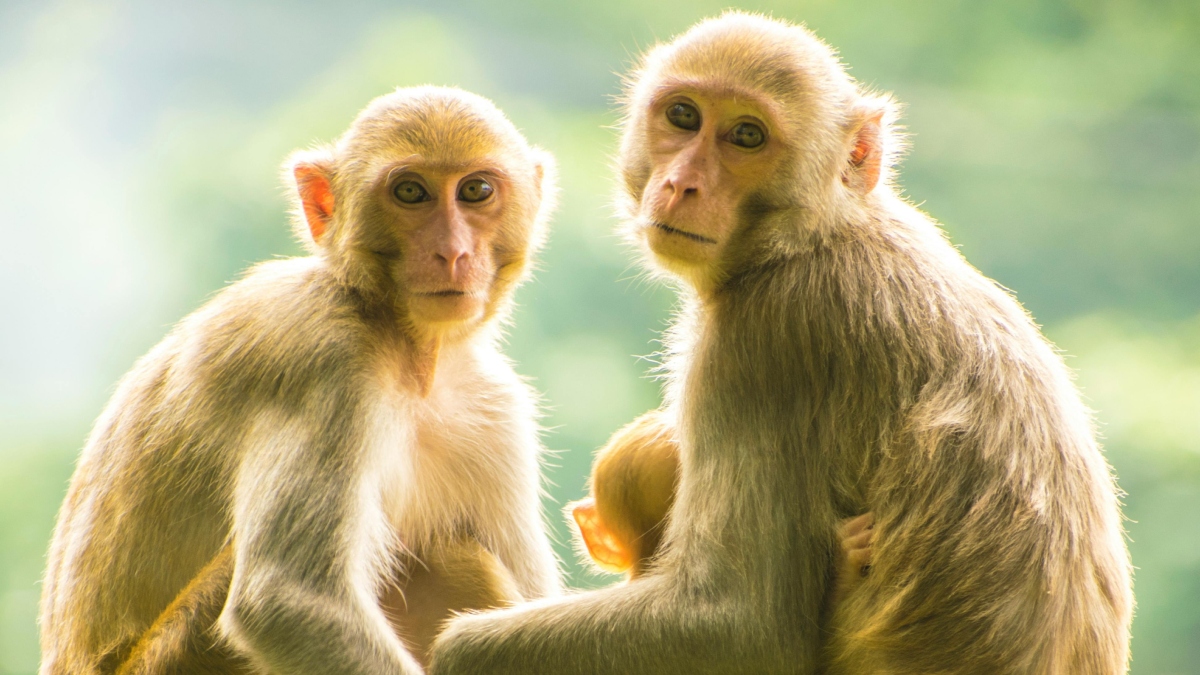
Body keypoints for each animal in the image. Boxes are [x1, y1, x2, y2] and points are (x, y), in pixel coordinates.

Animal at [38, 85, 562, 675]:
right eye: (410, 192)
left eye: (475, 191)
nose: (453, 252)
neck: (406, 350)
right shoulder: (321, 356)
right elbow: (286, 599)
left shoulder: (495, 407)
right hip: (175, 657)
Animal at [428, 12, 1132, 675]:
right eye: (683, 117)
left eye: (747, 136)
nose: (682, 183)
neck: (814, 234)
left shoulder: (761, 342)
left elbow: (741, 626)